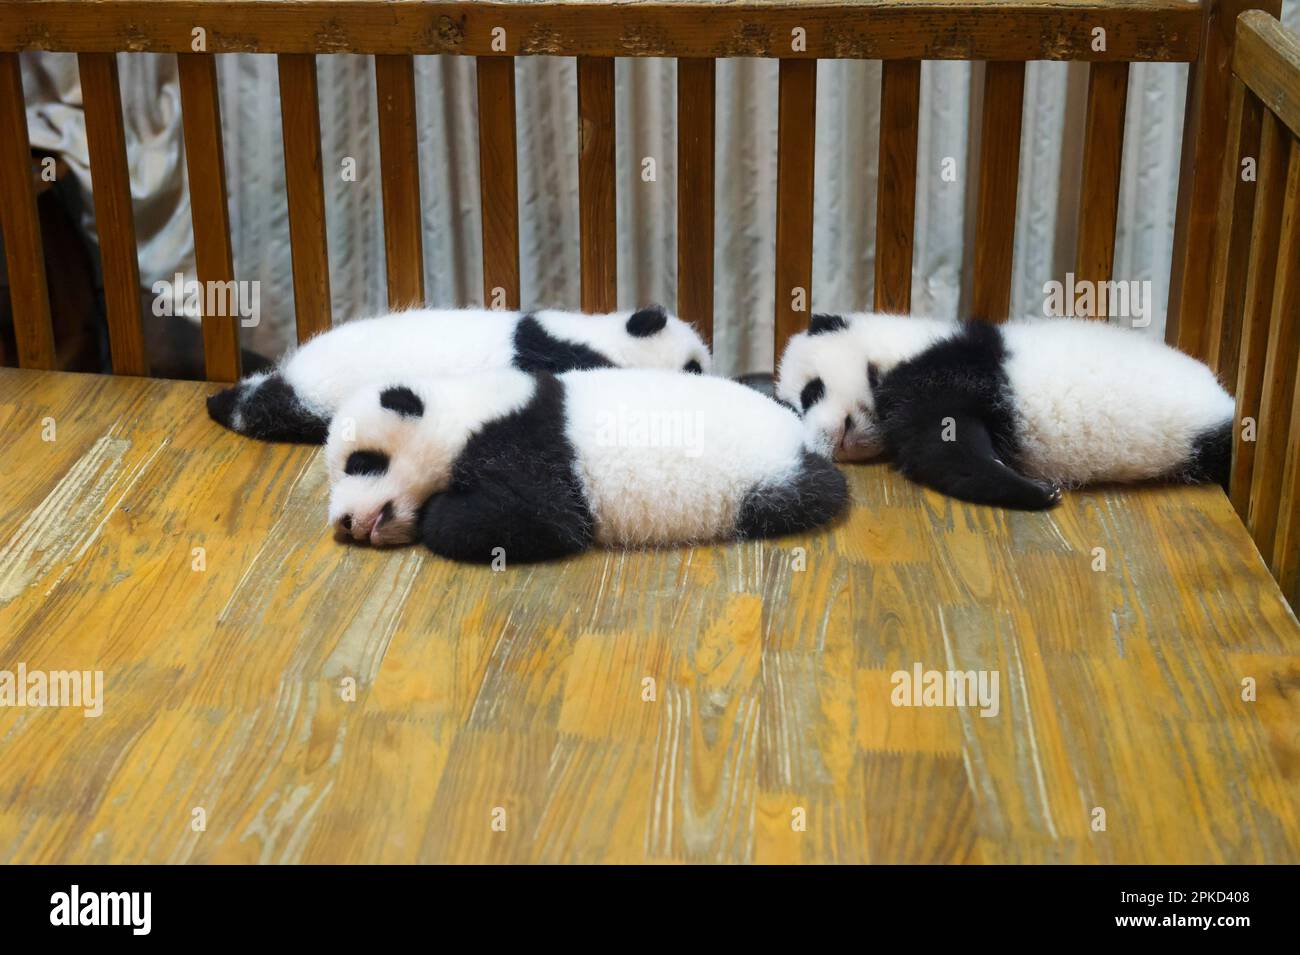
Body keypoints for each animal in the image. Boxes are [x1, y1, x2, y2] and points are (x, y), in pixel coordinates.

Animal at [324, 368, 848, 561]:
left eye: (362, 462)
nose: (345, 521)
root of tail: (800, 437)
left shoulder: (523, 444)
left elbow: (543, 518)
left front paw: (437, 513)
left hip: (765, 480)